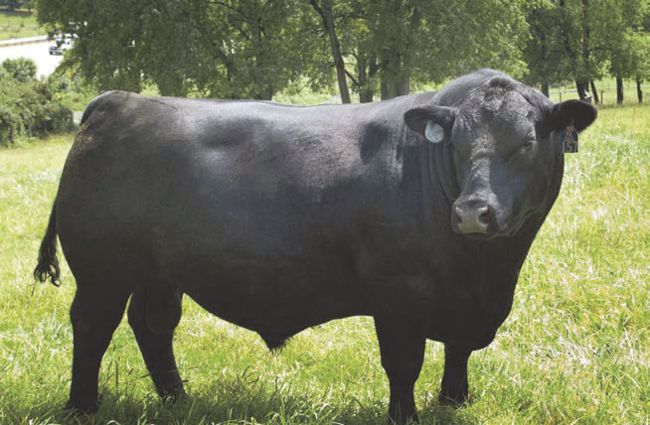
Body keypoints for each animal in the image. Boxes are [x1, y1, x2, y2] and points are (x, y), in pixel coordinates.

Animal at [34, 69, 596, 423]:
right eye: (455, 143)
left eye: (528, 142)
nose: (472, 212)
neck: (487, 271)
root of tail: (118, 100)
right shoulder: (399, 297)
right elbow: (403, 364)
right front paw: (406, 416)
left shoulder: (465, 301)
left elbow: (457, 352)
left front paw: (455, 400)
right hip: (104, 271)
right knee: (92, 327)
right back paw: (82, 408)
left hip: (159, 272)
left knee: (153, 325)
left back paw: (178, 399)